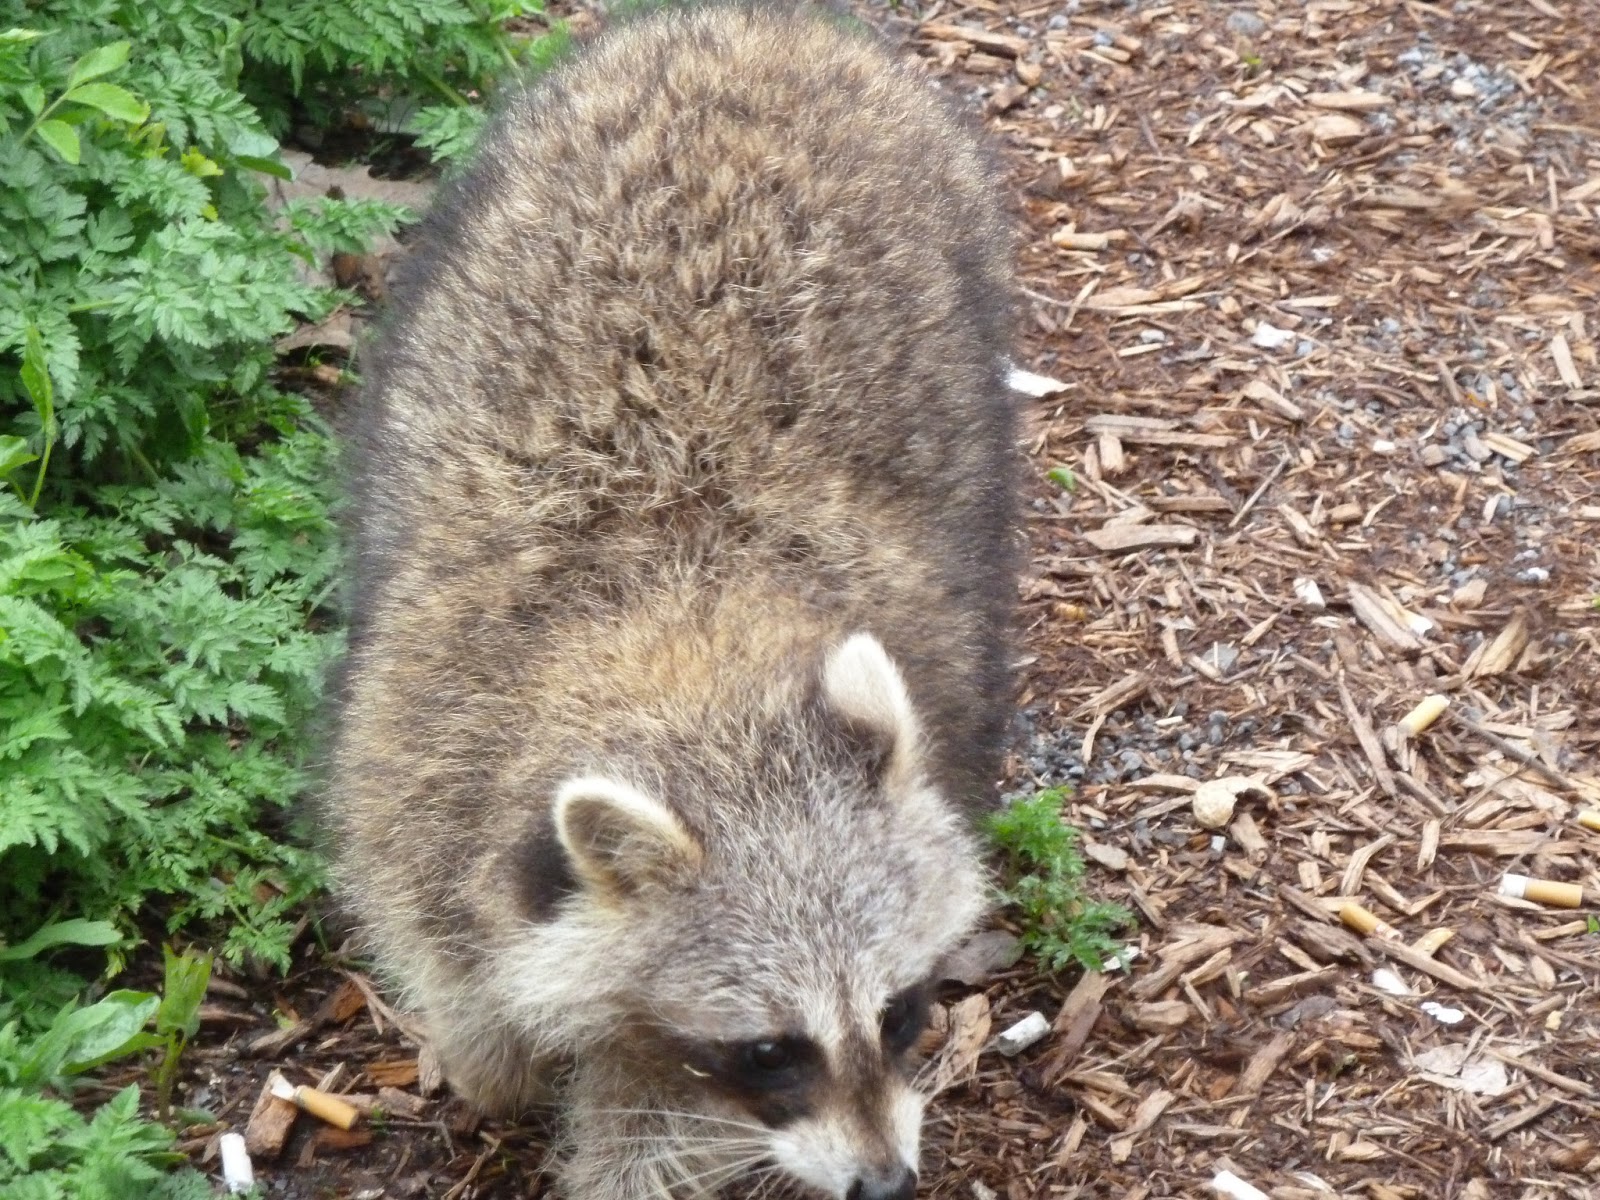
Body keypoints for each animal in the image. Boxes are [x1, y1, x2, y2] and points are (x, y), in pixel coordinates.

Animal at [329, 4, 1017, 1198]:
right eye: (770, 1050)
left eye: (900, 1012)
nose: (885, 1183)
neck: (688, 650)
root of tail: (753, 27)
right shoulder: (420, 743)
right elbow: (432, 924)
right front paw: (490, 1046)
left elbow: (652, 1105)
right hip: (461, 265)